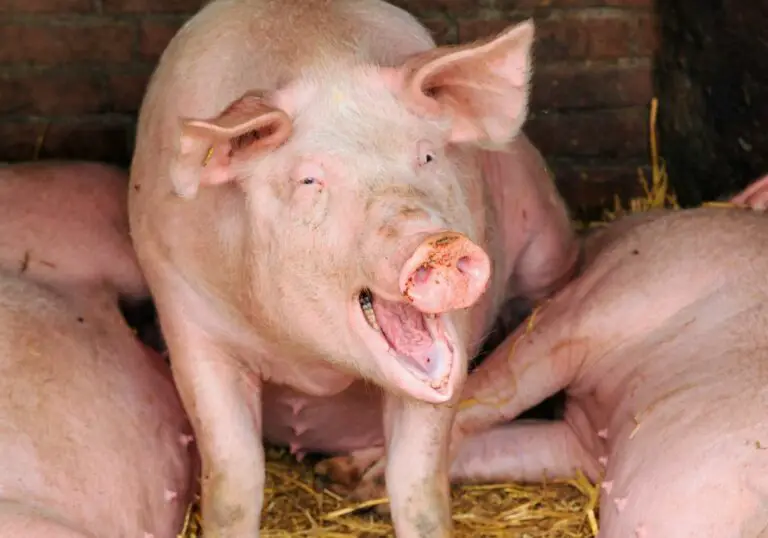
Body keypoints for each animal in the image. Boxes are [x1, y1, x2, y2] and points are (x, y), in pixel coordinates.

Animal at [127, 0, 579, 536]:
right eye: (309, 180)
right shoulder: (185, 312)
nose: (437, 242)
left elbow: (418, 483)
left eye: (427, 155)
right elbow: (235, 477)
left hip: (548, 247)